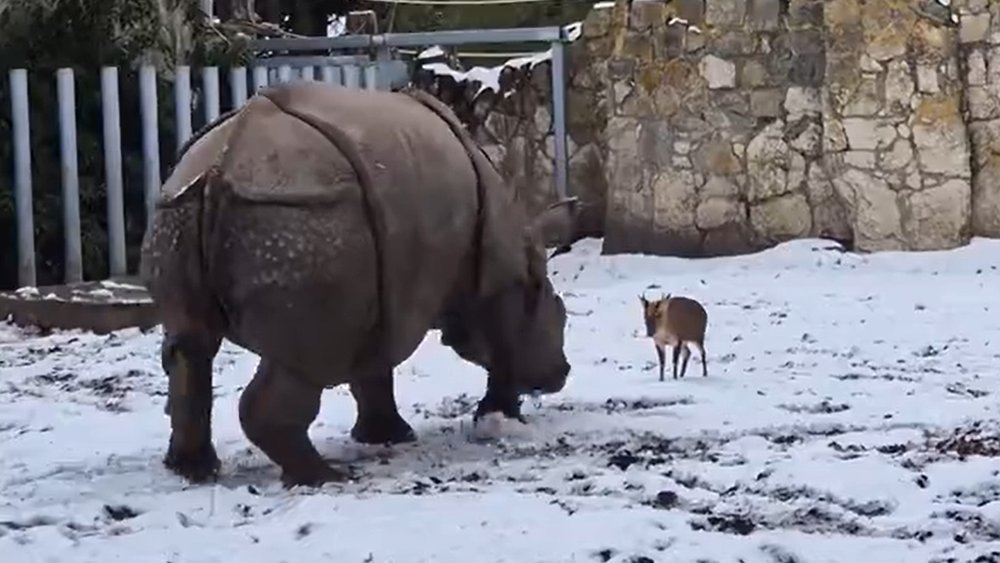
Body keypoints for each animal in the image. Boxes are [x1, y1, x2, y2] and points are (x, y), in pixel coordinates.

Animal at [139, 81, 579, 487]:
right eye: (559, 318)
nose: (562, 373)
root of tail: (221, 164)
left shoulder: (383, 296)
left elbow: (372, 370)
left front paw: (389, 438)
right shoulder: (489, 285)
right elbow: (500, 346)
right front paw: (499, 417)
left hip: (180, 209)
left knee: (189, 346)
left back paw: (192, 470)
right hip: (303, 220)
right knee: (305, 360)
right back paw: (325, 478)